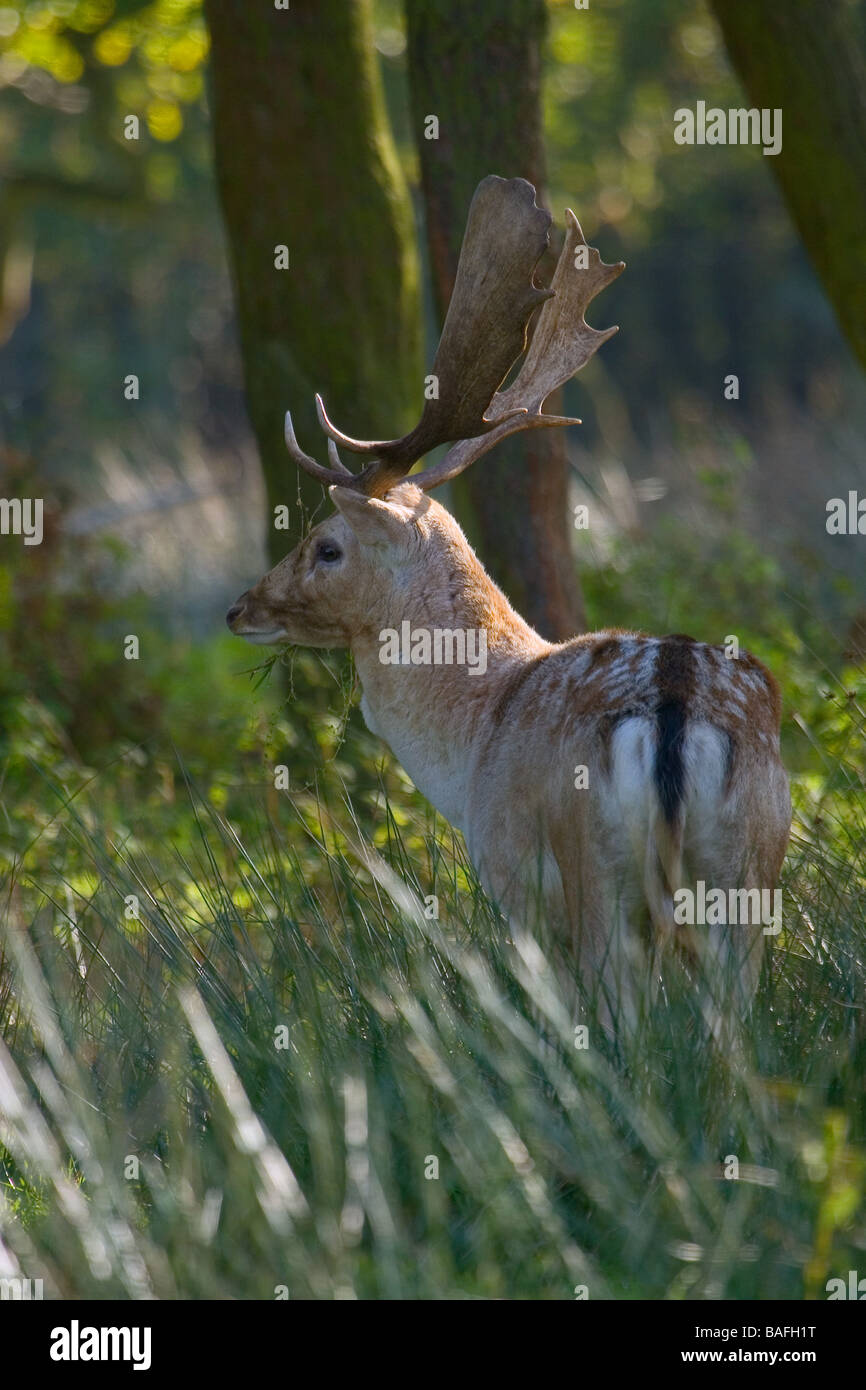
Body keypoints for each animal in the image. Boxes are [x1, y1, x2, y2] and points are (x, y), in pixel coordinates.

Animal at [226, 176, 791, 1027]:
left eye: (326, 546)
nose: (242, 607)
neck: (474, 736)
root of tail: (675, 705)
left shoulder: (510, 878)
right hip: (750, 865)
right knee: (734, 1029)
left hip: (599, 873)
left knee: (621, 1018)